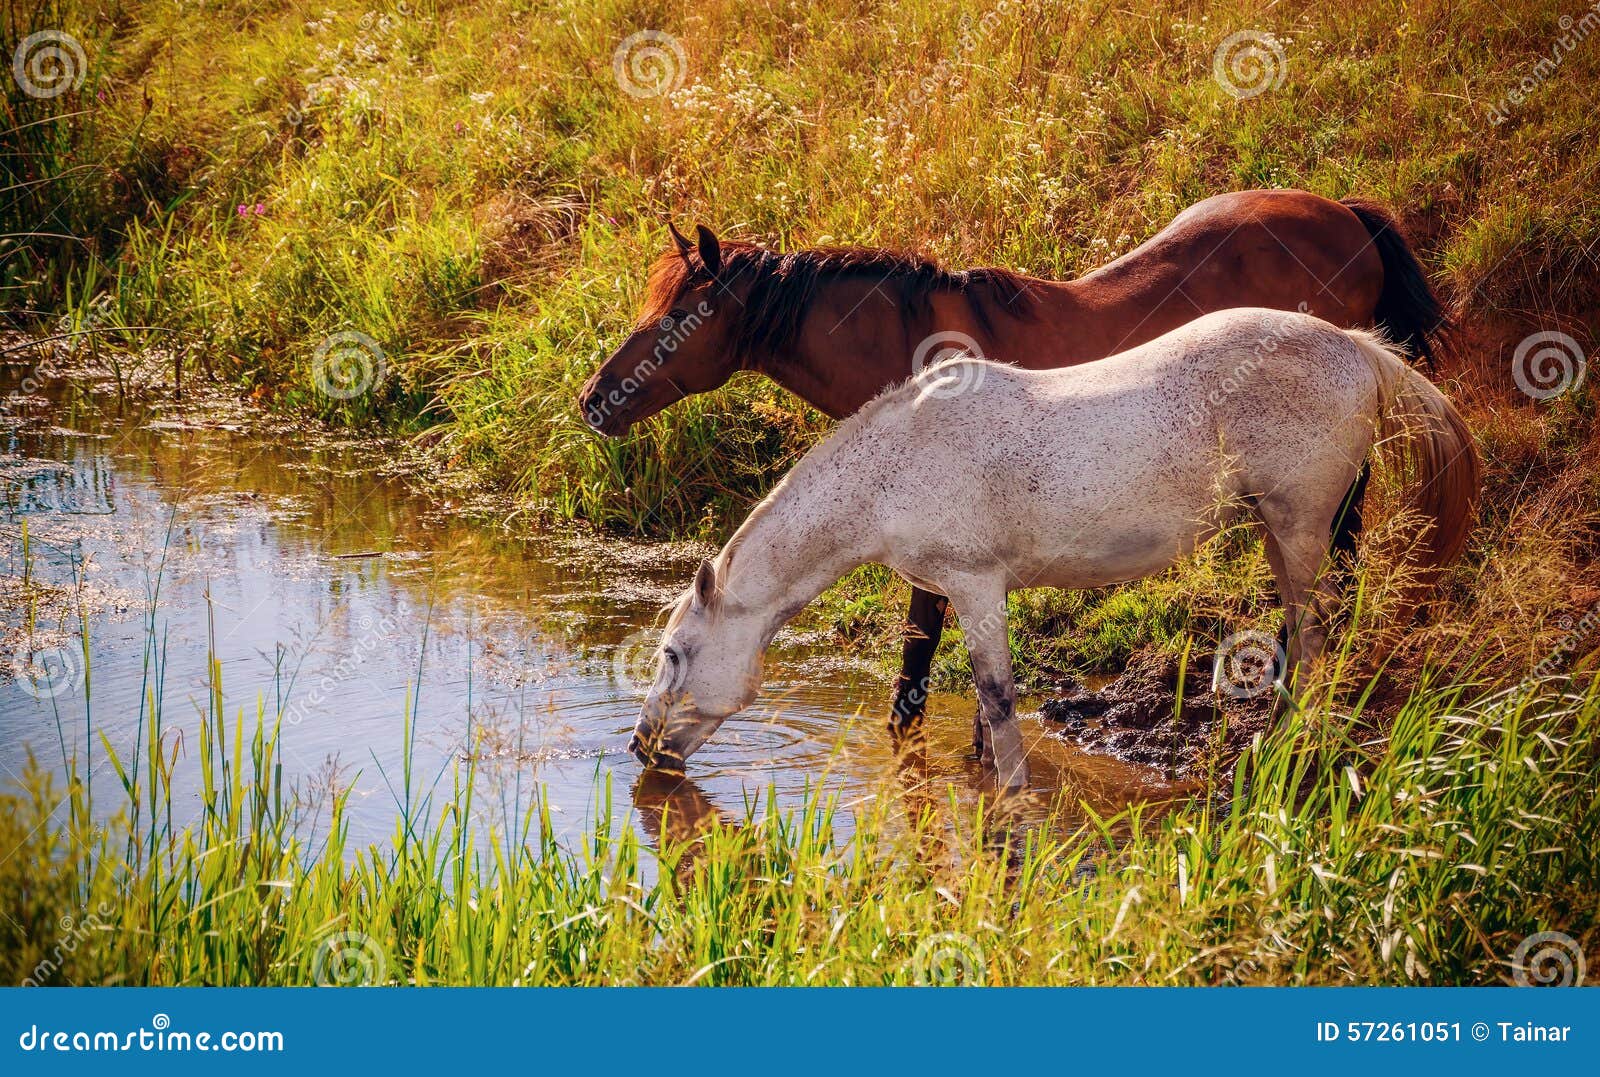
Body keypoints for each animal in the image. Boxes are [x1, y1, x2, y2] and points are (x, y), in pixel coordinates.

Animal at [626, 308, 1478, 789]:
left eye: (674, 654)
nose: (640, 746)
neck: (897, 463)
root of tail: (1358, 347)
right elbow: (983, 703)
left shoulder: (974, 586)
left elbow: (1000, 698)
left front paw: (1013, 791)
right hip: (1277, 528)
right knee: (1302, 634)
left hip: (1299, 525)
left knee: (1316, 632)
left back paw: (1295, 746)